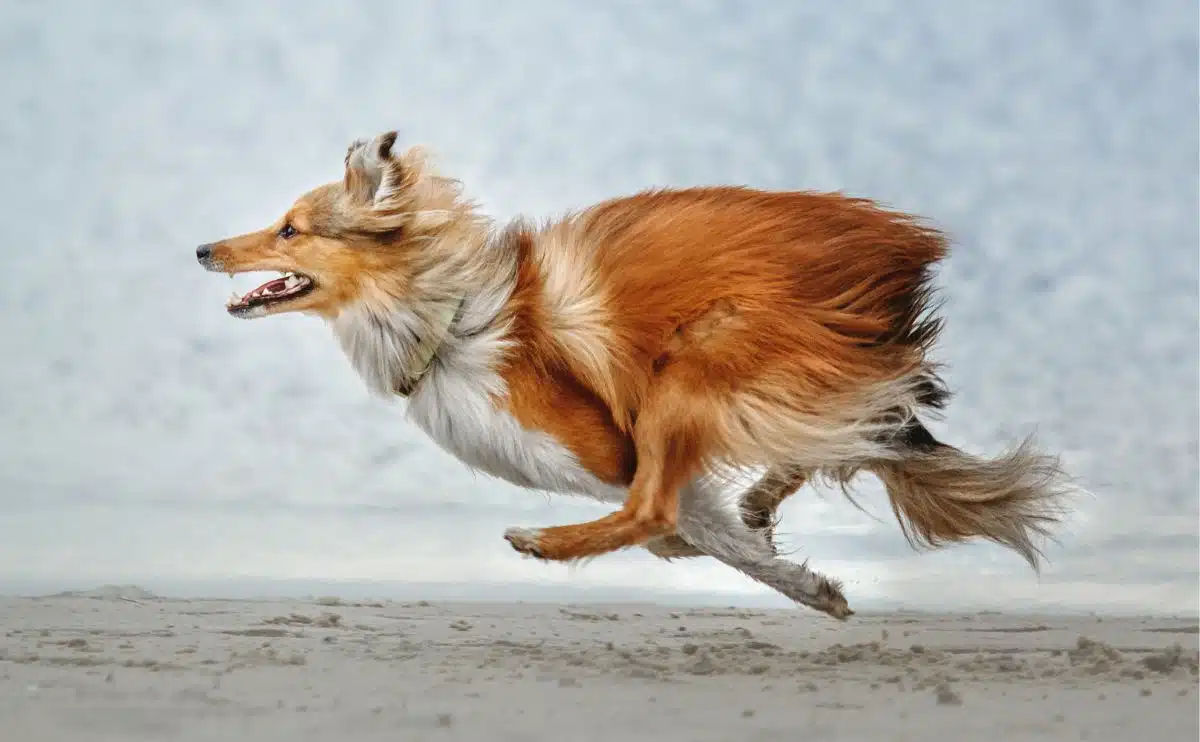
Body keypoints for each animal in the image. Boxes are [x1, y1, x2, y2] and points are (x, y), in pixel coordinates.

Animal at [194, 130, 1070, 614]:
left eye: (290, 229)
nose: (203, 249)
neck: (446, 319)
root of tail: (904, 257)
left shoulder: (608, 445)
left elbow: (662, 520)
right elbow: (710, 535)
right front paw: (805, 583)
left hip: (692, 367)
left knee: (659, 505)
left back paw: (543, 542)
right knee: (846, 441)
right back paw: (762, 502)